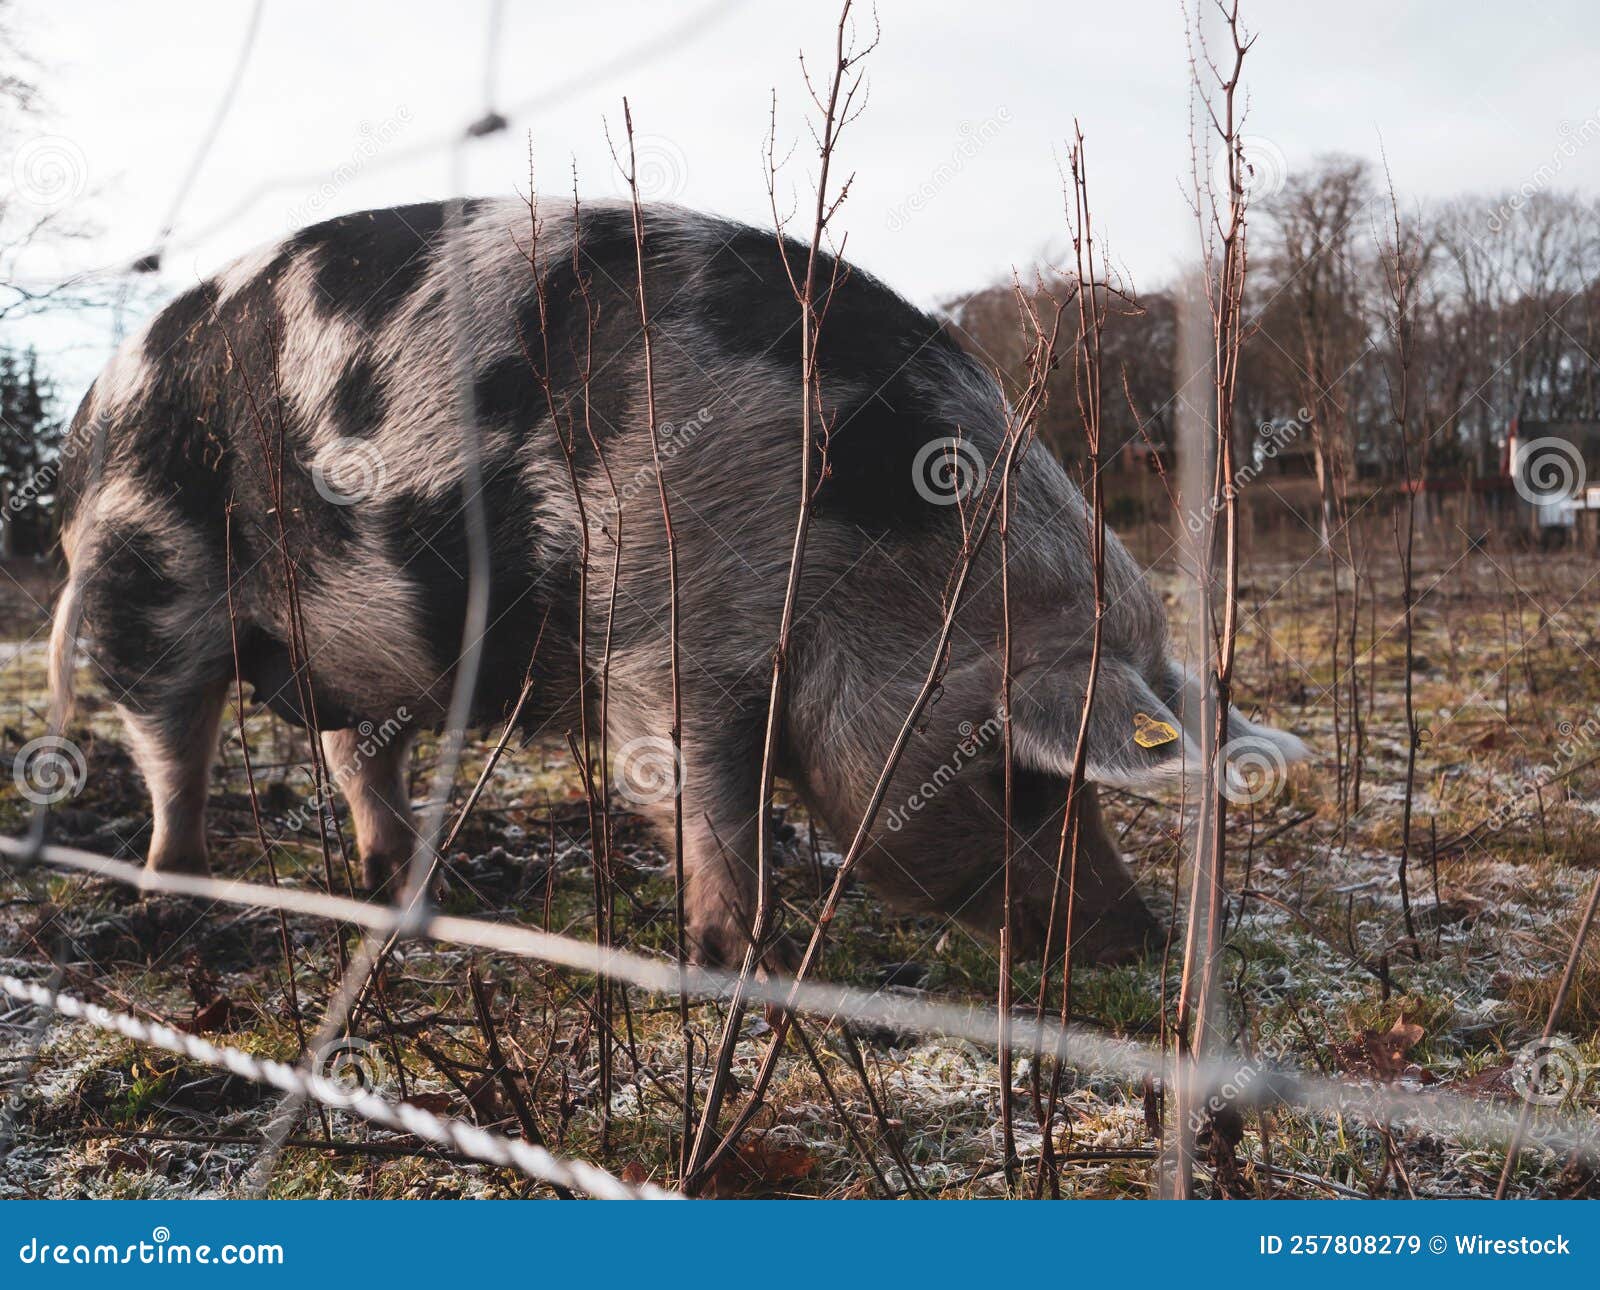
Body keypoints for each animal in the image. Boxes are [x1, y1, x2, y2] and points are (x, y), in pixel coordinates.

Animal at [50, 199, 1307, 967]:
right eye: (1026, 784)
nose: (1143, 938)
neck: (871, 557)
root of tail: (92, 403)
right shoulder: (670, 646)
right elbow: (700, 799)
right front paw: (742, 962)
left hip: (380, 649)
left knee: (359, 757)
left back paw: (421, 890)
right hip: (142, 583)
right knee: (172, 749)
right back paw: (179, 892)